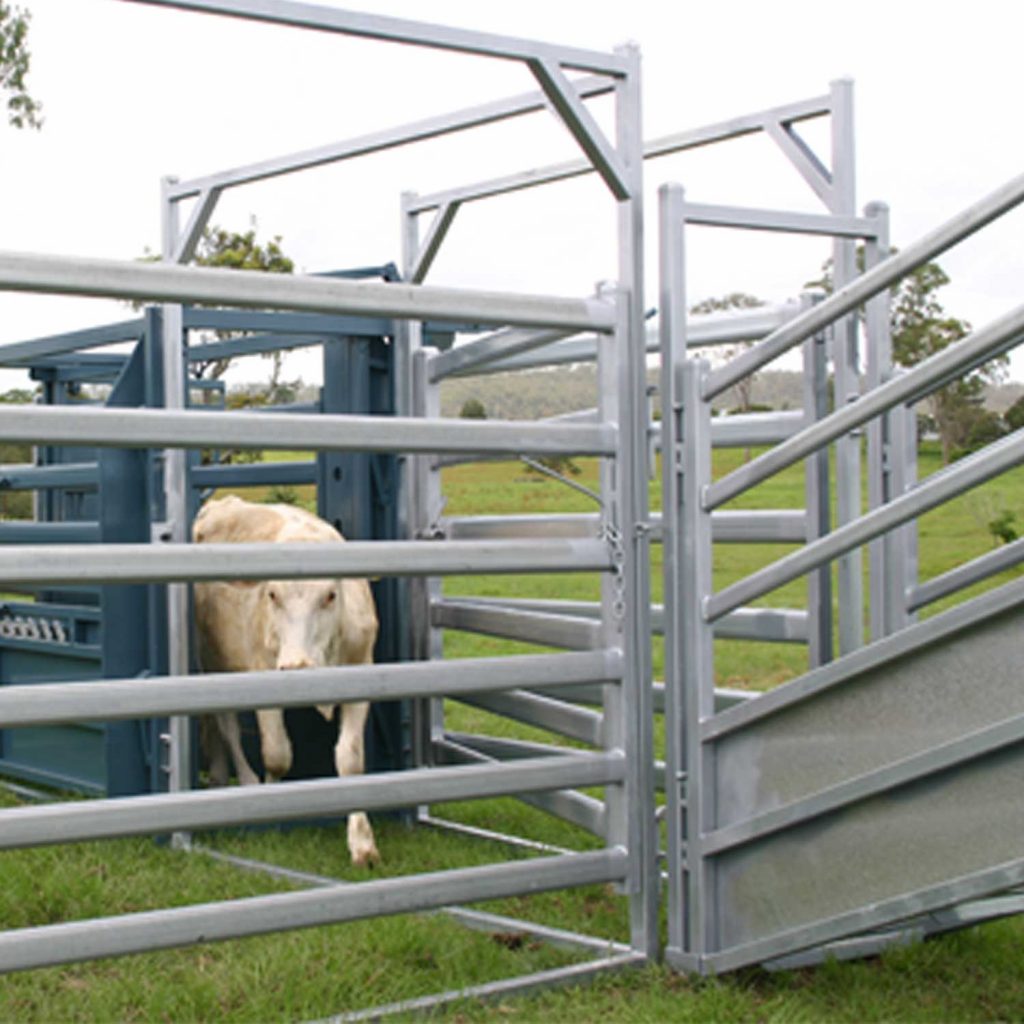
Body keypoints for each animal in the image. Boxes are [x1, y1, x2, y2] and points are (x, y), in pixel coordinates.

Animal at [192, 495, 380, 866]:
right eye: (272, 595)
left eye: (330, 595)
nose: (296, 664)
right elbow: (277, 753)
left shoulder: (361, 675)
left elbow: (350, 759)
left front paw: (362, 842)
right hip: (212, 659)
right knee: (226, 726)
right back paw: (246, 780)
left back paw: (218, 775)